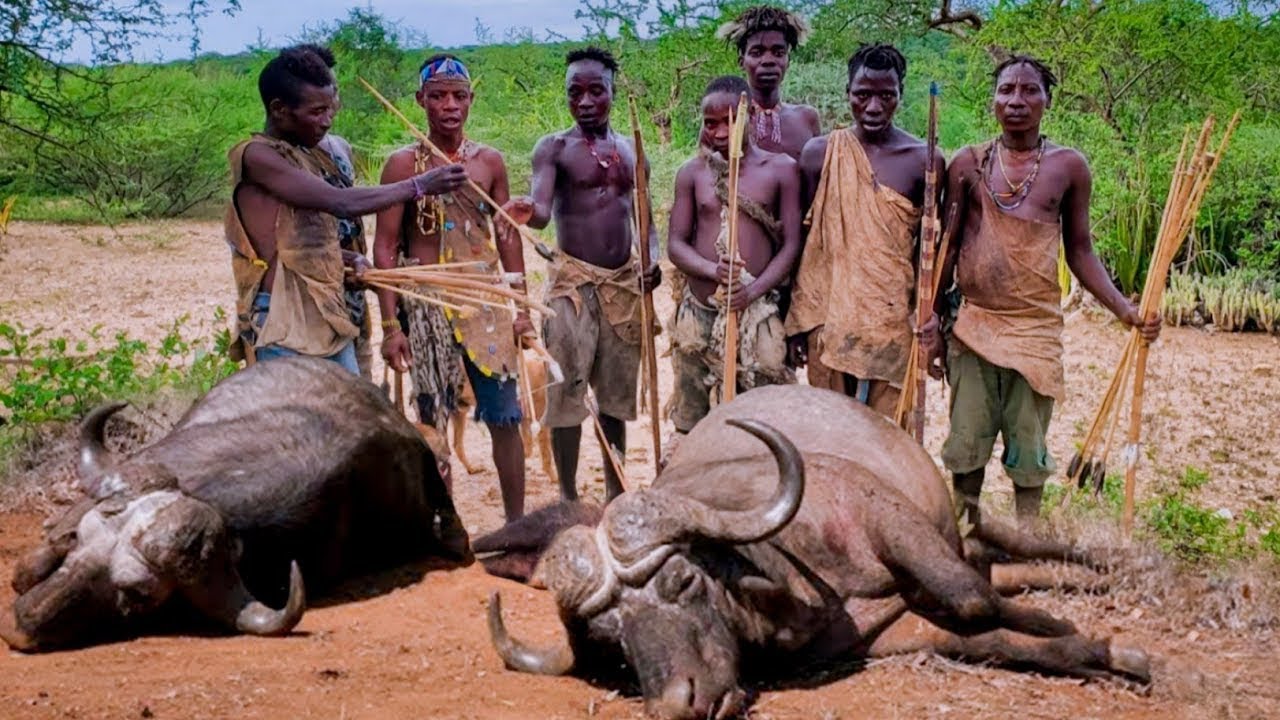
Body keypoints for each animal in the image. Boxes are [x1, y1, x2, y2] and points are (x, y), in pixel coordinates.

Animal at [479, 385, 1148, 719]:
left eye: (683, 582)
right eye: (613, 639)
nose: (677, 705)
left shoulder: (887, 518)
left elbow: (973, 600)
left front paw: (1075, 630)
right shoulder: (886, 632)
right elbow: (989, 636)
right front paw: (1097, 653)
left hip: (941, 521)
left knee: (988, 548)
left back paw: (1111, 568)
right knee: (988, 559)